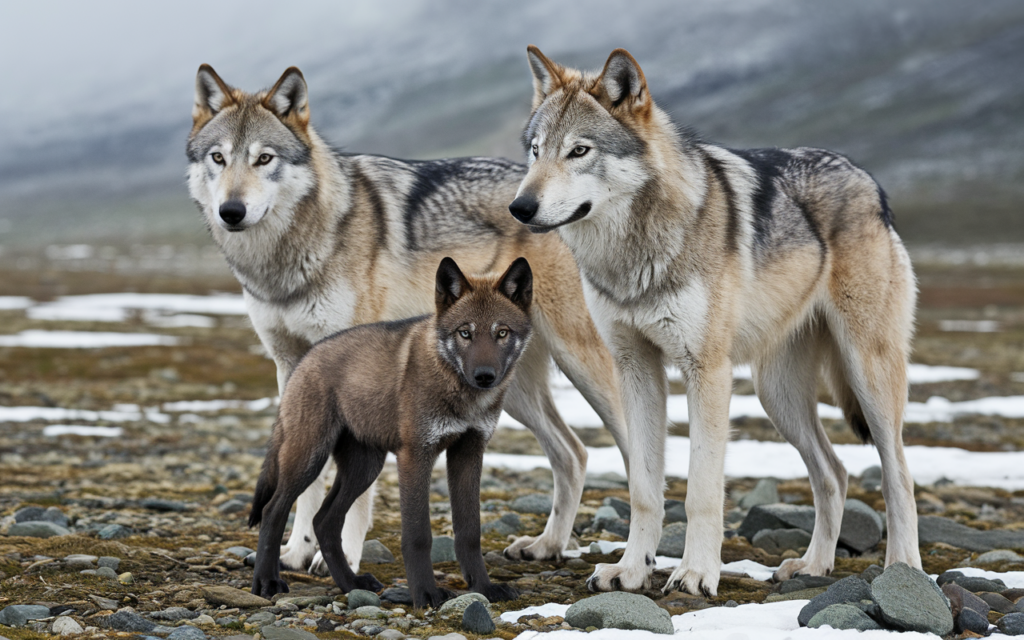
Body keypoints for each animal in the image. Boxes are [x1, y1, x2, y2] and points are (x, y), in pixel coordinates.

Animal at [250, 257, 529, 607]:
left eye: (501, 333)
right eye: (465, 333)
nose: (484, 376)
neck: (461, 395)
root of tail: (304, 360)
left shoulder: (468, 454)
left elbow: (469, 532)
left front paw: (484, 588)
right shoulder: (415, 456)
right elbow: (418, 535)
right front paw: (426, 593)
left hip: (365, 468)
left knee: (323, 522)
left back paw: (350, 583)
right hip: (309, 459)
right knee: (273, 510)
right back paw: (267, 582)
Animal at [509, 46, 920, 597]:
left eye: (579, 151)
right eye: (535, 151)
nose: (520, 206)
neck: (634, 255)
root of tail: (869, 182)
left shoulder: (706, 371)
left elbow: (702, 488)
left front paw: (696, 573)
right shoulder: (635, 368)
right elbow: (644, 487)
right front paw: (631, 570)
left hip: (867, 375)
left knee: (898, 473)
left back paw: (903, 568)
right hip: (777, 395)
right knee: (833, 473)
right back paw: (813, 565)